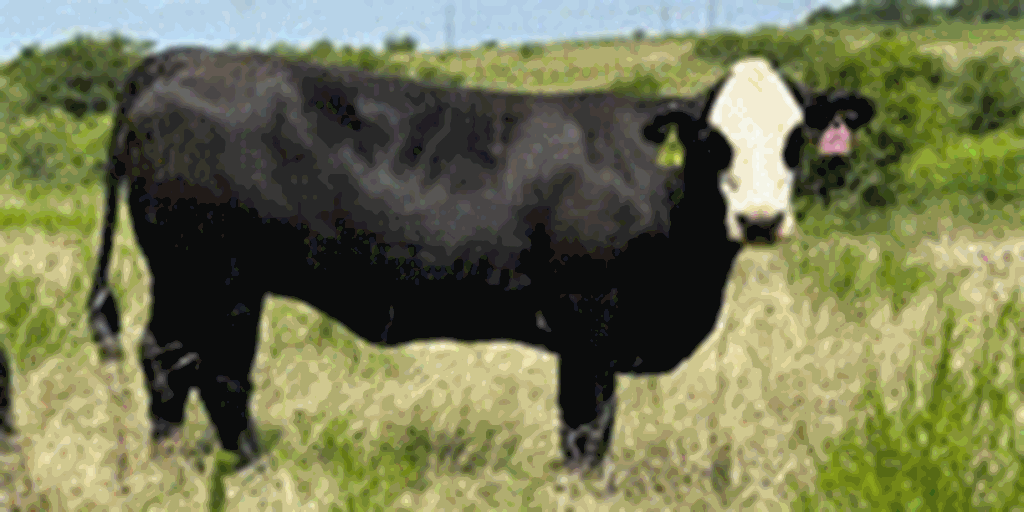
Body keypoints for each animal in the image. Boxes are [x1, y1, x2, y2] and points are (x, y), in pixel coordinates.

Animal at [87, 49, 875, 473]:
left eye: (797, 138)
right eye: (714, 141)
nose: (762, 220)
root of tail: (184, 58)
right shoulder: (589, 324)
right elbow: (586, 427)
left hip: (183, 278)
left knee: (166, 360)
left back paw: (166, 465)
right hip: (220, 279)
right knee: (217, 374)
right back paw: (254, 470)